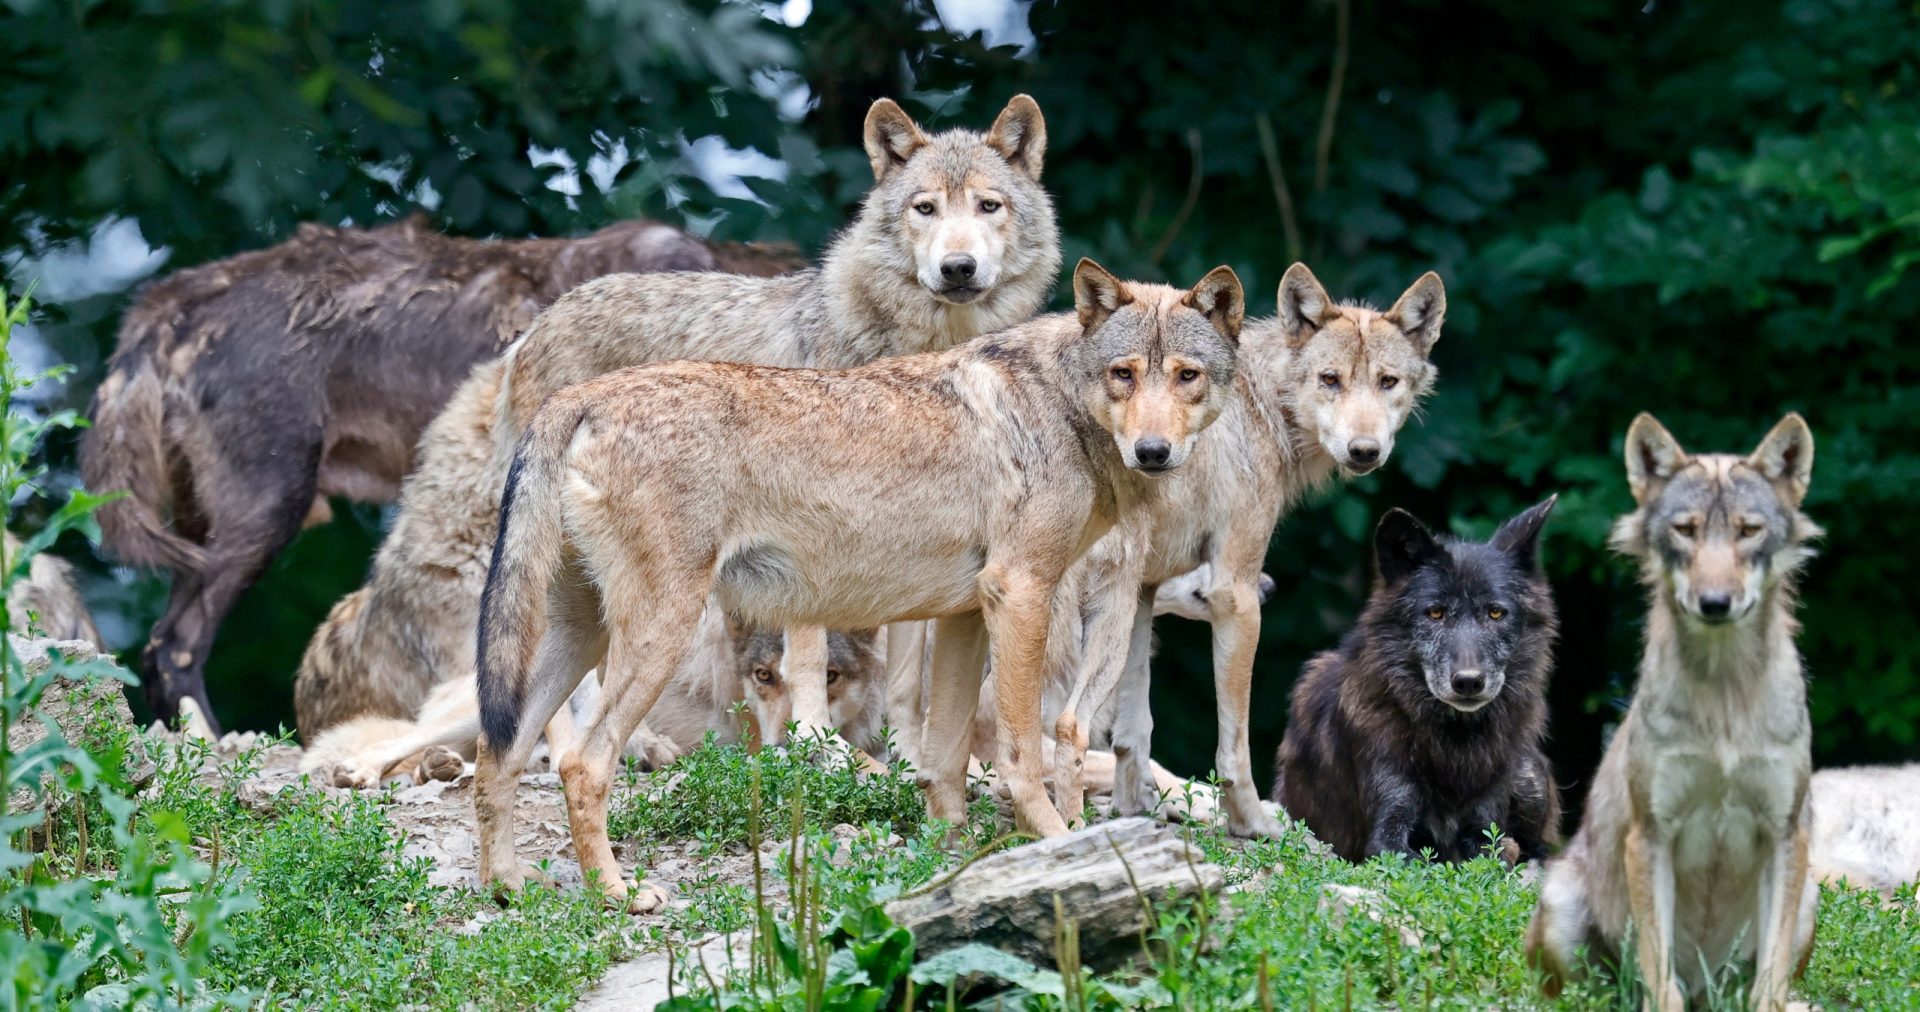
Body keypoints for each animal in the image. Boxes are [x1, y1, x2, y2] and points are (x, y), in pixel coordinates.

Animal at [294, 94, 1057, 740]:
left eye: (988, 206)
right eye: (925, 208)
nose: (957, 267)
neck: (921, 347)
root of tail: (532, 330)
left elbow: (902, 675)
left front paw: (904, 754)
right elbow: (808, 656)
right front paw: (821, 748)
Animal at [472, 259, 1245, 911]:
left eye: (1186, 375)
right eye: (1123, 374)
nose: (1153, 452)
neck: (1061, 401)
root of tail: (575, 400)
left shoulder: (966, 614)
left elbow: (944, 762)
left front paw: (952, 862)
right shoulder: (1020, 593)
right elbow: (1024, 757)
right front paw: (1056, 846)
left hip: (577, 637)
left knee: (498, 752)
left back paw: (507, 888)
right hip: (655, 634)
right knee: (582, 761)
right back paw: (618, 893)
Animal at [1045, 263, 1446, 838]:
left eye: (1387, 382)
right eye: (1331, 380)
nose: (1364, 451)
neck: (1263, 405)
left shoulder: (1146, 592)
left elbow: (1134, 731)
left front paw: (1132, 810)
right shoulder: (1235, 593)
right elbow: (1234, 745)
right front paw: (1252, 822)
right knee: (1061, 726)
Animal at [1271, 499, 1561, 864]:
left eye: (1495, 613)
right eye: (1435, 613)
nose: (1468, 682)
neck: (1453, 747)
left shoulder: (1485, 828)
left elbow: (1496, 853)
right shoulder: (1387, 836)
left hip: (1527, 774)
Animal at [1526, 413, 1820, 1011]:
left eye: (1748, 530)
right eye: (1686, 530)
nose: (1714, 603)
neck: (1725, 697)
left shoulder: (1785, 837)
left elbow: (1770, 982)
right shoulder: (1651, 837)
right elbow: (1661, 974)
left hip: (1810, 898)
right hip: (1561, 901)